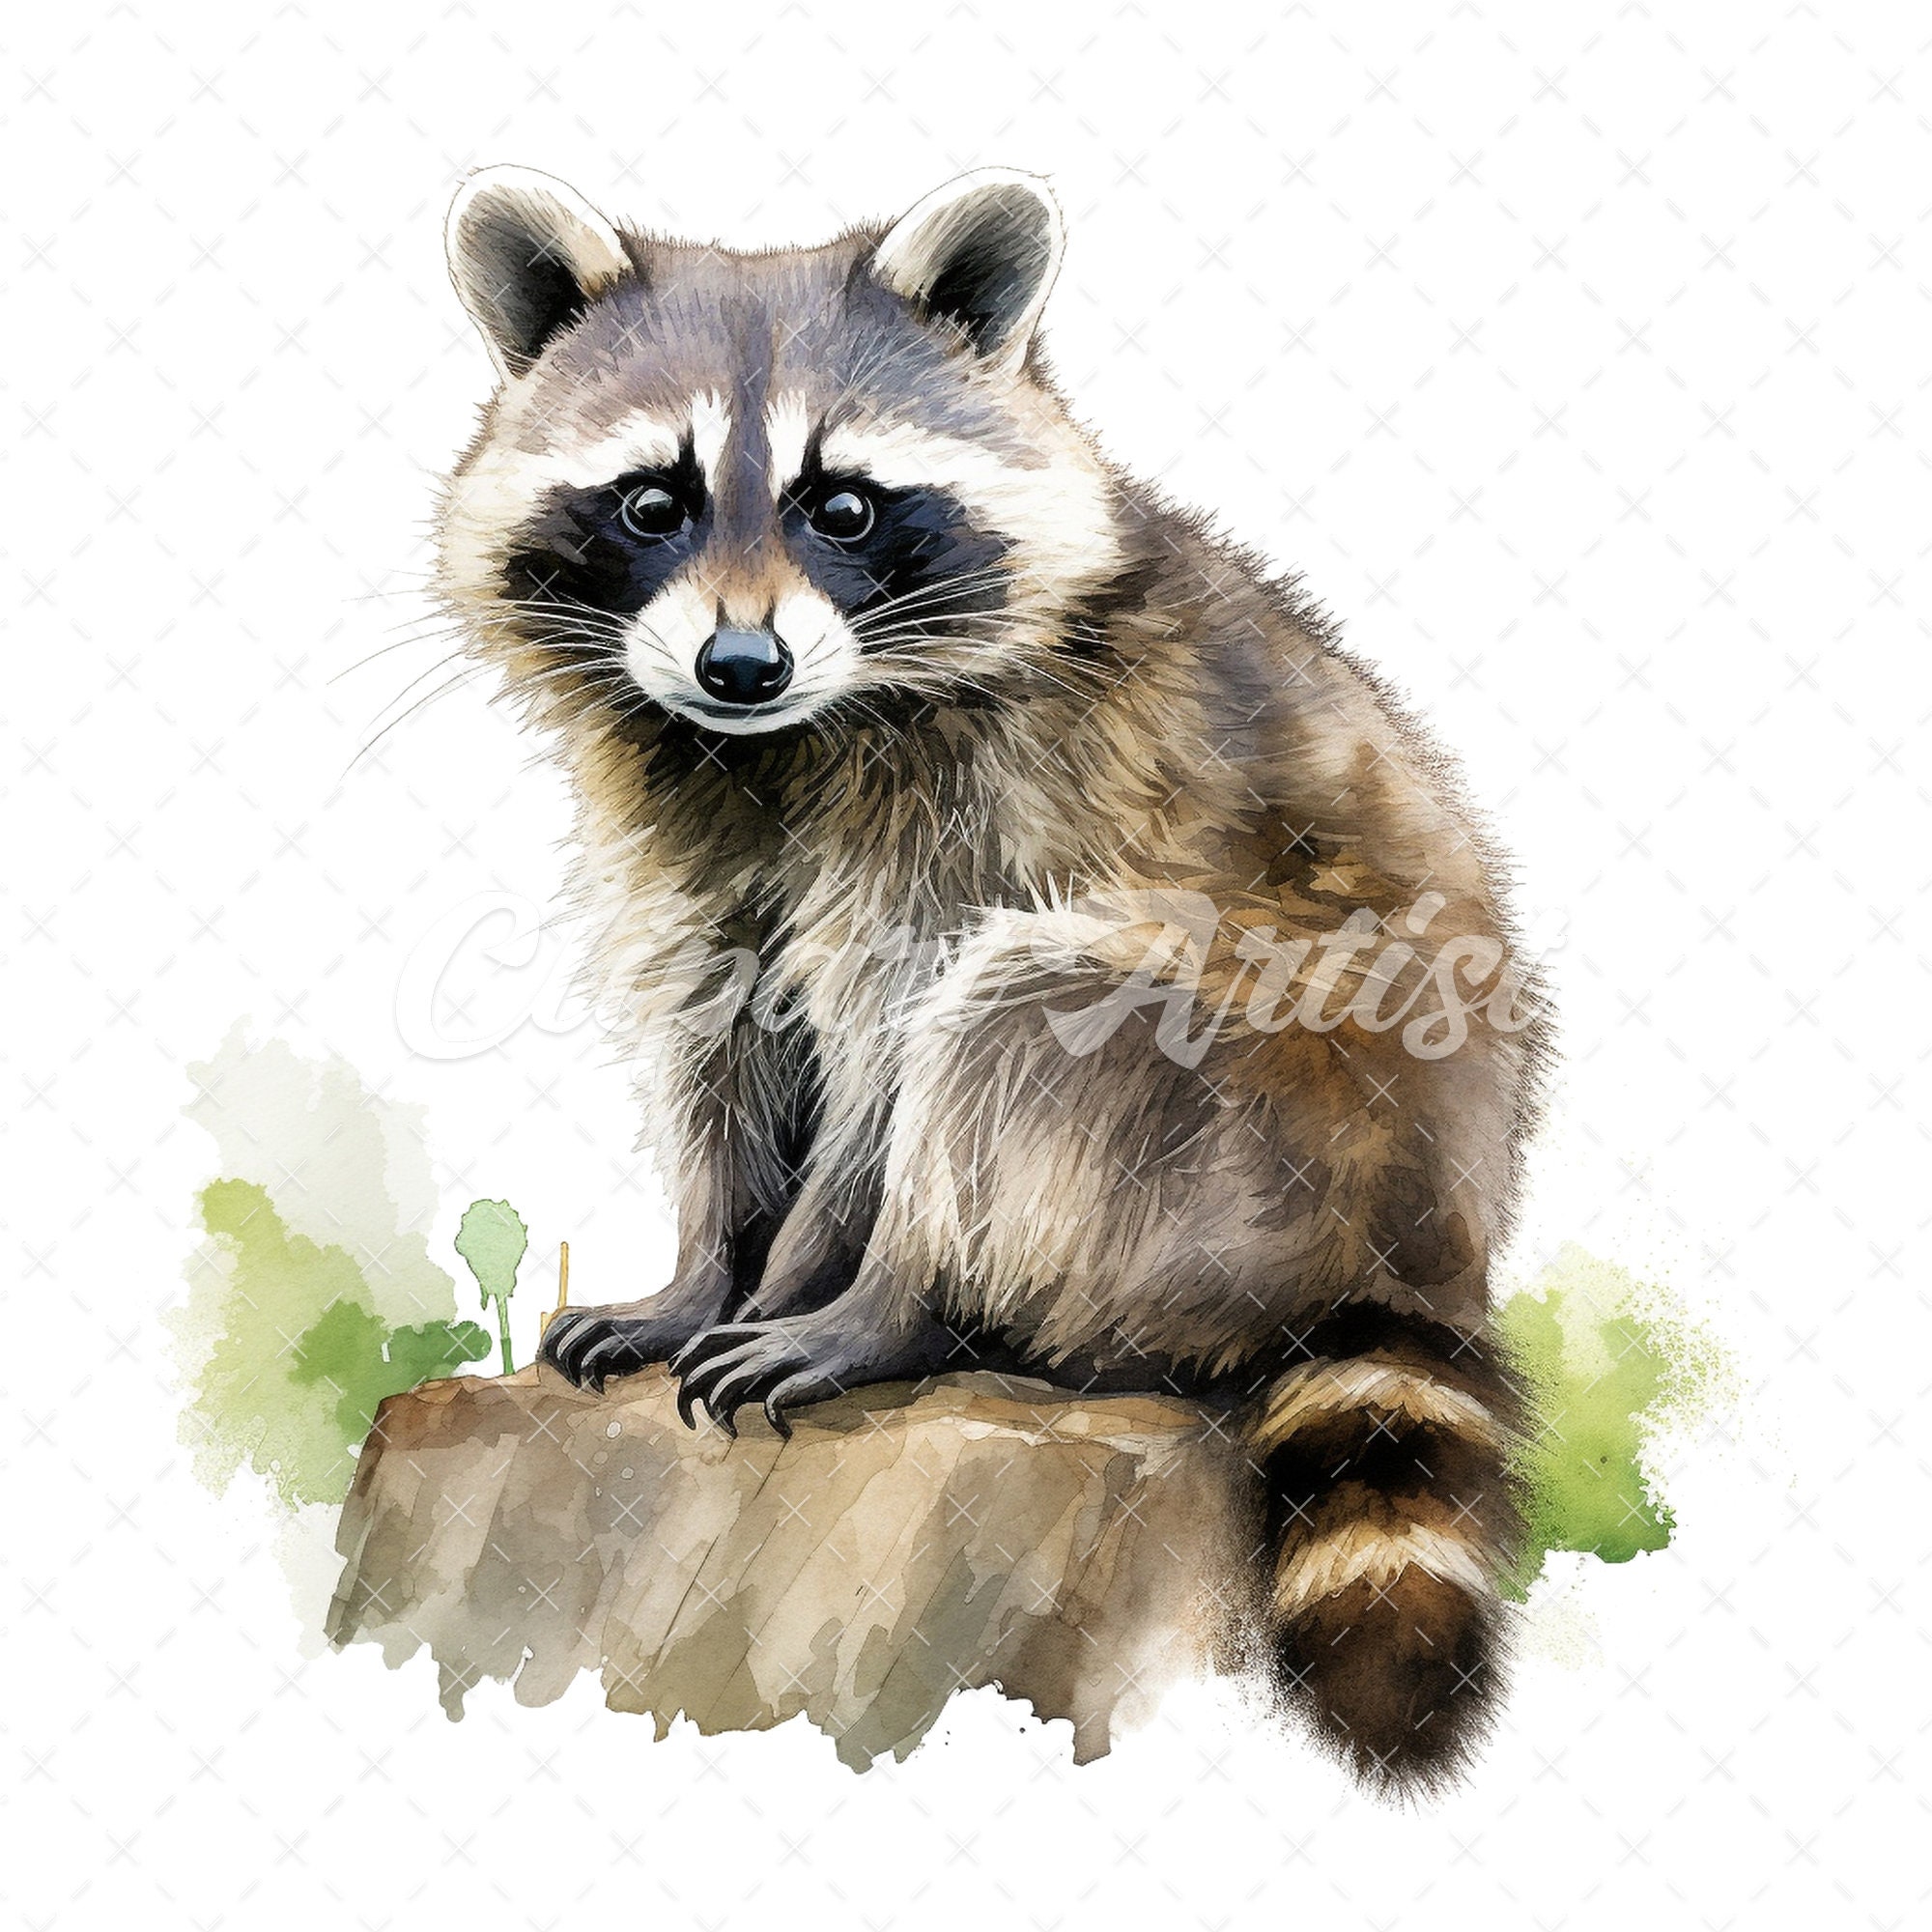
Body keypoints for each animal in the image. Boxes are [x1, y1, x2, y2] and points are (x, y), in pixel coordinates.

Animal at [435, 164, 1549, 1791]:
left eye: (843, 504)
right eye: (653, 500)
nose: (740, 665)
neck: (777, 746)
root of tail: (1428, 1231)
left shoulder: (994, 799)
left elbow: (895, 1049)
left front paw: (799, 1273)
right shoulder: (688, 819)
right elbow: (720, 1024)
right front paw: (704, 1262)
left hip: (1257, 1104)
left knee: (1015, 1031)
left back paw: (903, 1303)